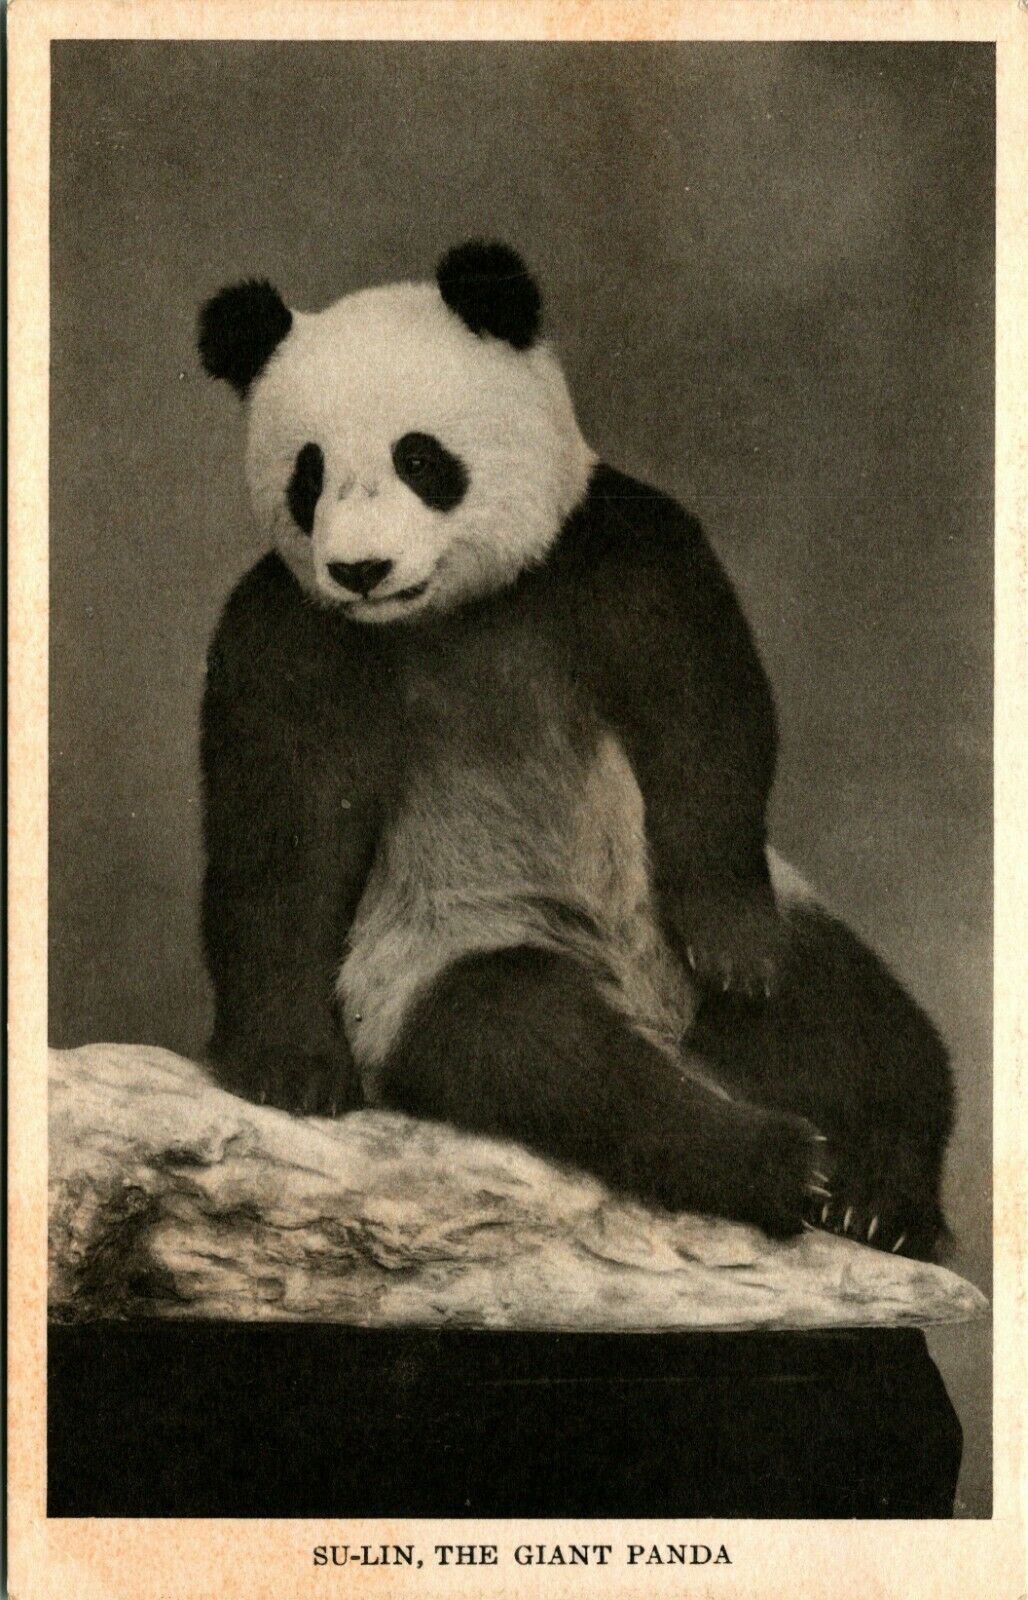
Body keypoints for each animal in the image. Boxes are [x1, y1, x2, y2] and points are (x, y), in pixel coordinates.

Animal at [197, 241, 953, 1259]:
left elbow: (706, 712)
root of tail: (657, 1016)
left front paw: (736, 949)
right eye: (307, 478)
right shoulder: (289, 637)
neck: (456, 608)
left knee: (853, 1025)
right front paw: (290, 1068)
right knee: (542, 1052)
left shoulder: (607, 550)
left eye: (420, 459)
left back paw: (881, 1194)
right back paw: (768, 1161)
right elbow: (278, 840)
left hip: (732, 910)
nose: (360, 570)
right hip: (440, 946)